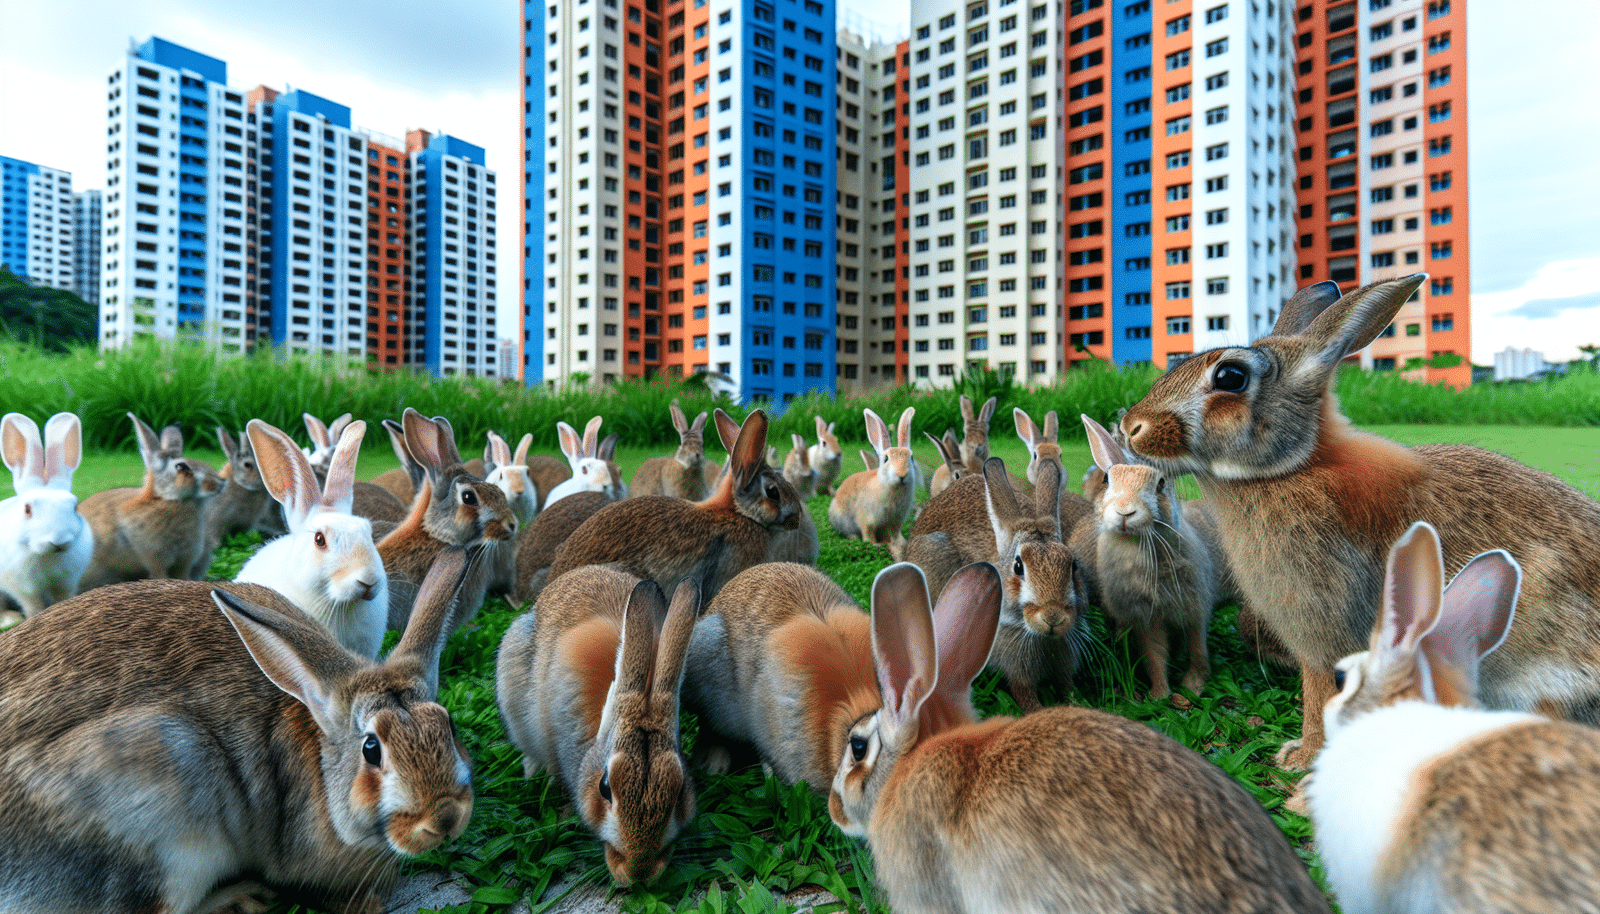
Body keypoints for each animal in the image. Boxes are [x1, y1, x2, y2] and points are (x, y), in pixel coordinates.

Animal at [0, 412, 94, 620]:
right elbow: (33, 607)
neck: (46, 556)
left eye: (75, 507)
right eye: (27, 509)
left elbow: (62, 599)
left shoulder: (65, 582)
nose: (58, 541)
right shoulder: (23, 588)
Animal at [828, 407, 916, 552]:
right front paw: (875, 544)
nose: (902, 474)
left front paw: (899, 543)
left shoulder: (895, 522)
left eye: (911, 458)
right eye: (886, 459)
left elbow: (894, 534)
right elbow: (867, 532)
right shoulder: (866, 516)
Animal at [904, 456, 1091, 713]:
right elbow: (1025, 695)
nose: (1053, 617)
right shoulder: (1016, 670)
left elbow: (1067, 687)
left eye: (1073, 566)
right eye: (1018, 567)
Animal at [1073, 415, 1224, 705]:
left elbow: (1197, 646)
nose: (1124, 512)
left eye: (1161, 484)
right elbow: (1154, 654)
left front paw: (1192, 687)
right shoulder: (1145, 618)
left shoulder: (1195, 606)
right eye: (1108, 479)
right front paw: (1160, 694)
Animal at [1118, 273, 1600, 769]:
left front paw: (1302, 758)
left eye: (1230, 377)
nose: (1130, 427)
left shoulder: (1325, 627)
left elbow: (1319, 693)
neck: (1288, 471)